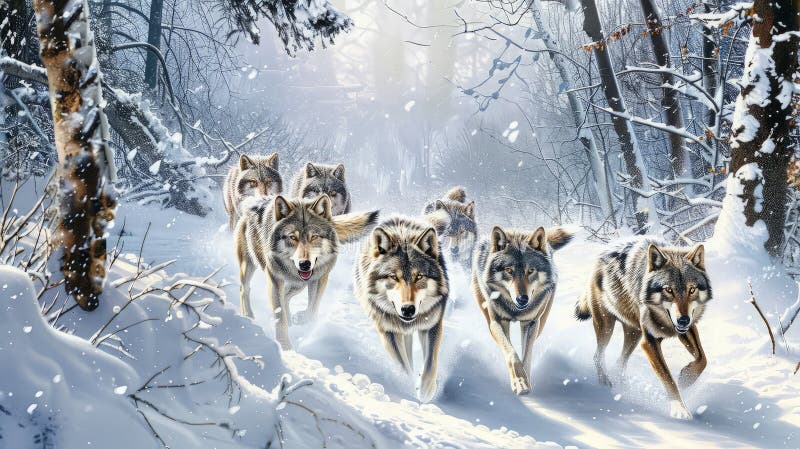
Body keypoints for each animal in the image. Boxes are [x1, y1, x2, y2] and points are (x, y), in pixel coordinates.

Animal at [236, 194, 378, 350]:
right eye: (292, 237)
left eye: (314, 237)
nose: (304, 264)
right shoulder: (275, 279)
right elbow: (280, 318)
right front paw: (285, 348)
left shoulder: (320, 277)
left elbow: (312, 308)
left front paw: (303, 320)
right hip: (248, 266)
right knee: (244, 289)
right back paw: (248, 316)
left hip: (299, 285)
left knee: (286, 296)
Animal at [354, 216, 449, 402]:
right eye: (393, 277)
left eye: (419, 276)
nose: (408, 310)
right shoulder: (388, 332)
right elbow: (403, 366)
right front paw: (408, 386)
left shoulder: (432, 325)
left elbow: (430, 363)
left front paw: (425, 392)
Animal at [472, 226, 573, 395]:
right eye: (509, 270)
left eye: (531, 270)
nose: (522, 299)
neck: (516, 311)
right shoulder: (497, 322)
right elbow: (512, 353)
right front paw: (519, 382)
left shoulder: (531, 323)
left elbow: (526, 356)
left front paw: (525, 381)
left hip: (541, 321)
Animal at [575, 237, 710, 420]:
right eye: (669, 290)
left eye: (692, 289)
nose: (683, 320)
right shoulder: (650, 342)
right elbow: (668, 378)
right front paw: (679, 409)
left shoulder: (687, 329)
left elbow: (702, 359)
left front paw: (686, 378)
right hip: (607, 327)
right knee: (598, 355)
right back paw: (605, 383)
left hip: (634, 335)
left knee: (620, 362)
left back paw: (622, 386)